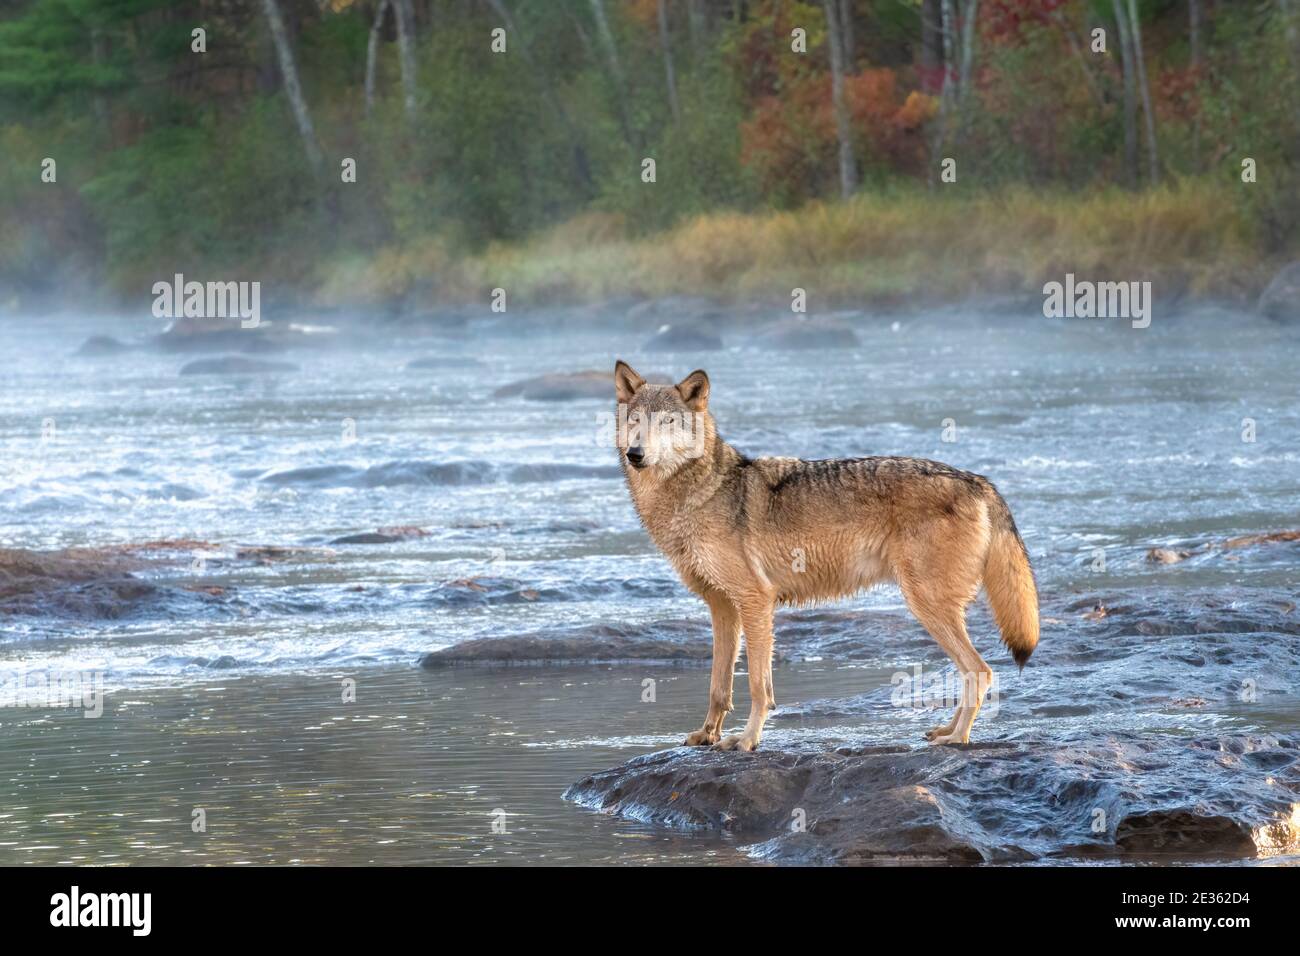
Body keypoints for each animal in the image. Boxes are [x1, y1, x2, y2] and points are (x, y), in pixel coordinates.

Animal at [613, 360, 1039, 751]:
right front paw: (708, 735)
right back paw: (945, 731)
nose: (636, 454)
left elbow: (758, 687)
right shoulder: (722, 606)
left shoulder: (755, 601)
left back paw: (958, 737)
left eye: (668, 422)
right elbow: (719, 686)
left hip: (926, 605)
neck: (697, 492)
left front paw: (747, 740)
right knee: (973, 671)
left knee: (980, 671)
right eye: (636, 420)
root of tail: (979, 482)